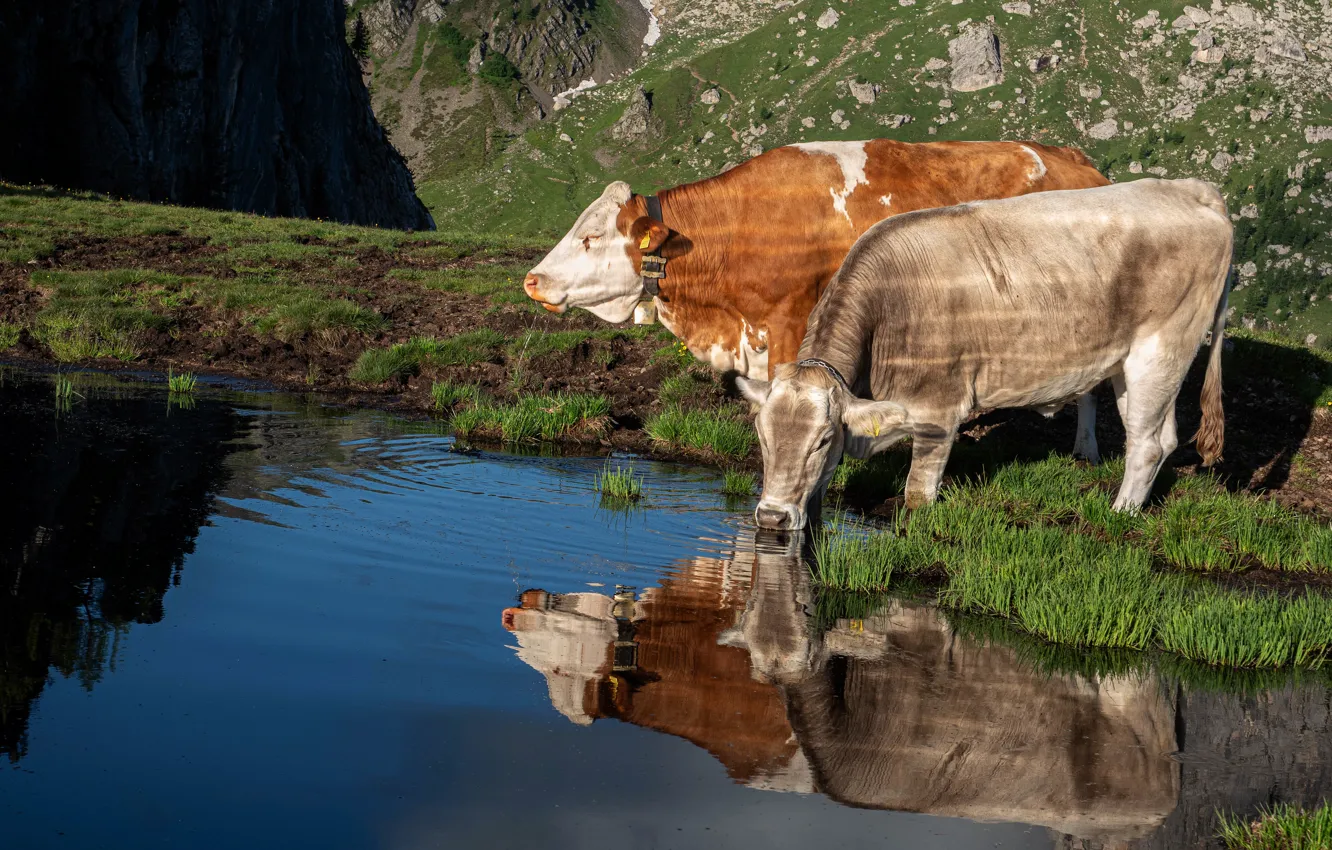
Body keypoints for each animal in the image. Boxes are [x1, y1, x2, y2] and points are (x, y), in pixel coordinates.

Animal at [737, 178, 1233, 528]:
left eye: (821, 439)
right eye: (762, 435)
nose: (771, 516)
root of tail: (1190, 189)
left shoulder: (937, 411)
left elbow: (918, 494)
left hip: (1162, 350)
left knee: (1147, 444)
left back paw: (1118, 516)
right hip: (1127, 364)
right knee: (1157, 437)